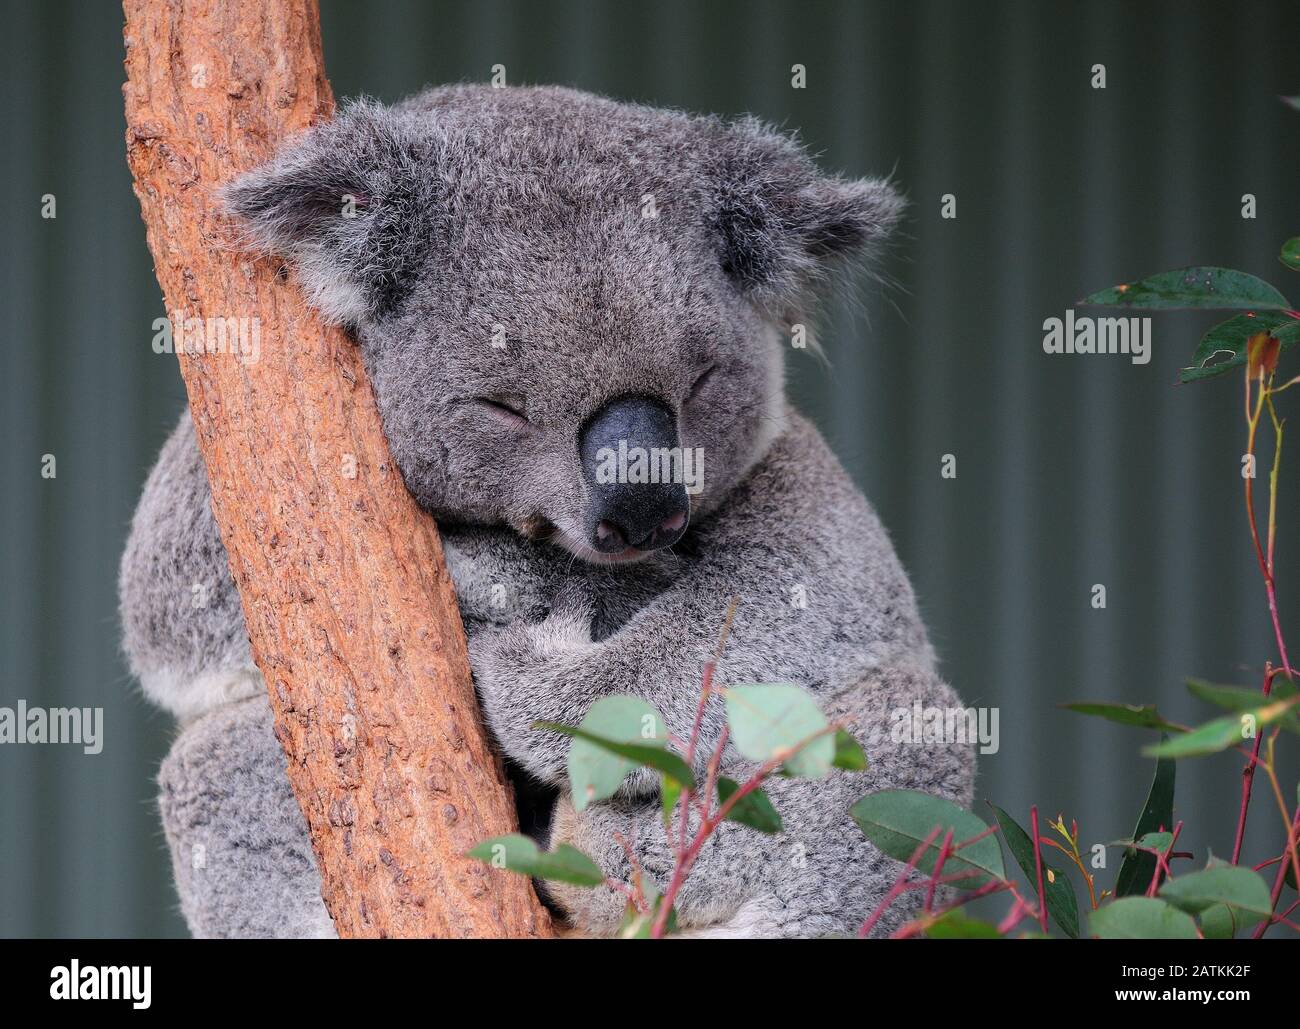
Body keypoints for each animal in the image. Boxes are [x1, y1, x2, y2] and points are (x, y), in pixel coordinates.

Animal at [119, 84, 974, 938]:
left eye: (703, 383)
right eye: (502, 409)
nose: (645, 516)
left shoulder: (794, 482)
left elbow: (818, 587)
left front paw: (530, 645)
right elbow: (176, 606)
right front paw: (513, 575)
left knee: (905, 734)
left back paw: (609, 848)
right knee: (222, 757)